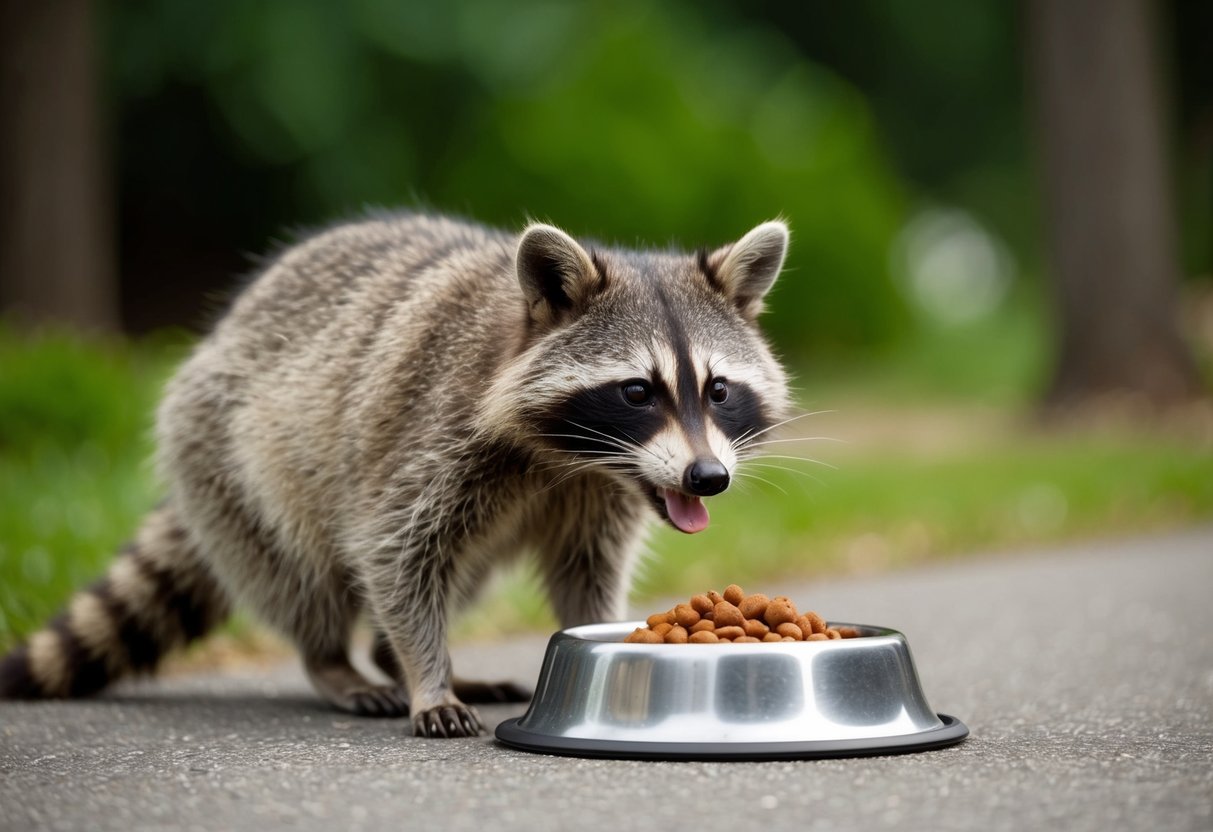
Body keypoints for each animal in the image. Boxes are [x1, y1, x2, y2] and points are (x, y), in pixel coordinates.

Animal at [0, 213, 792, 737]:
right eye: (637, 392)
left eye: (719, 390)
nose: (706, 477)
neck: (569, 458)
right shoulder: (427, 436)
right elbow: (395, 554)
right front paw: (424, 673)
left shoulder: (598, 496)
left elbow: (584, 572)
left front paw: (603, 634)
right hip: (221, 451)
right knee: (299, 575)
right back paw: (337, 661)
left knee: (461, 572)